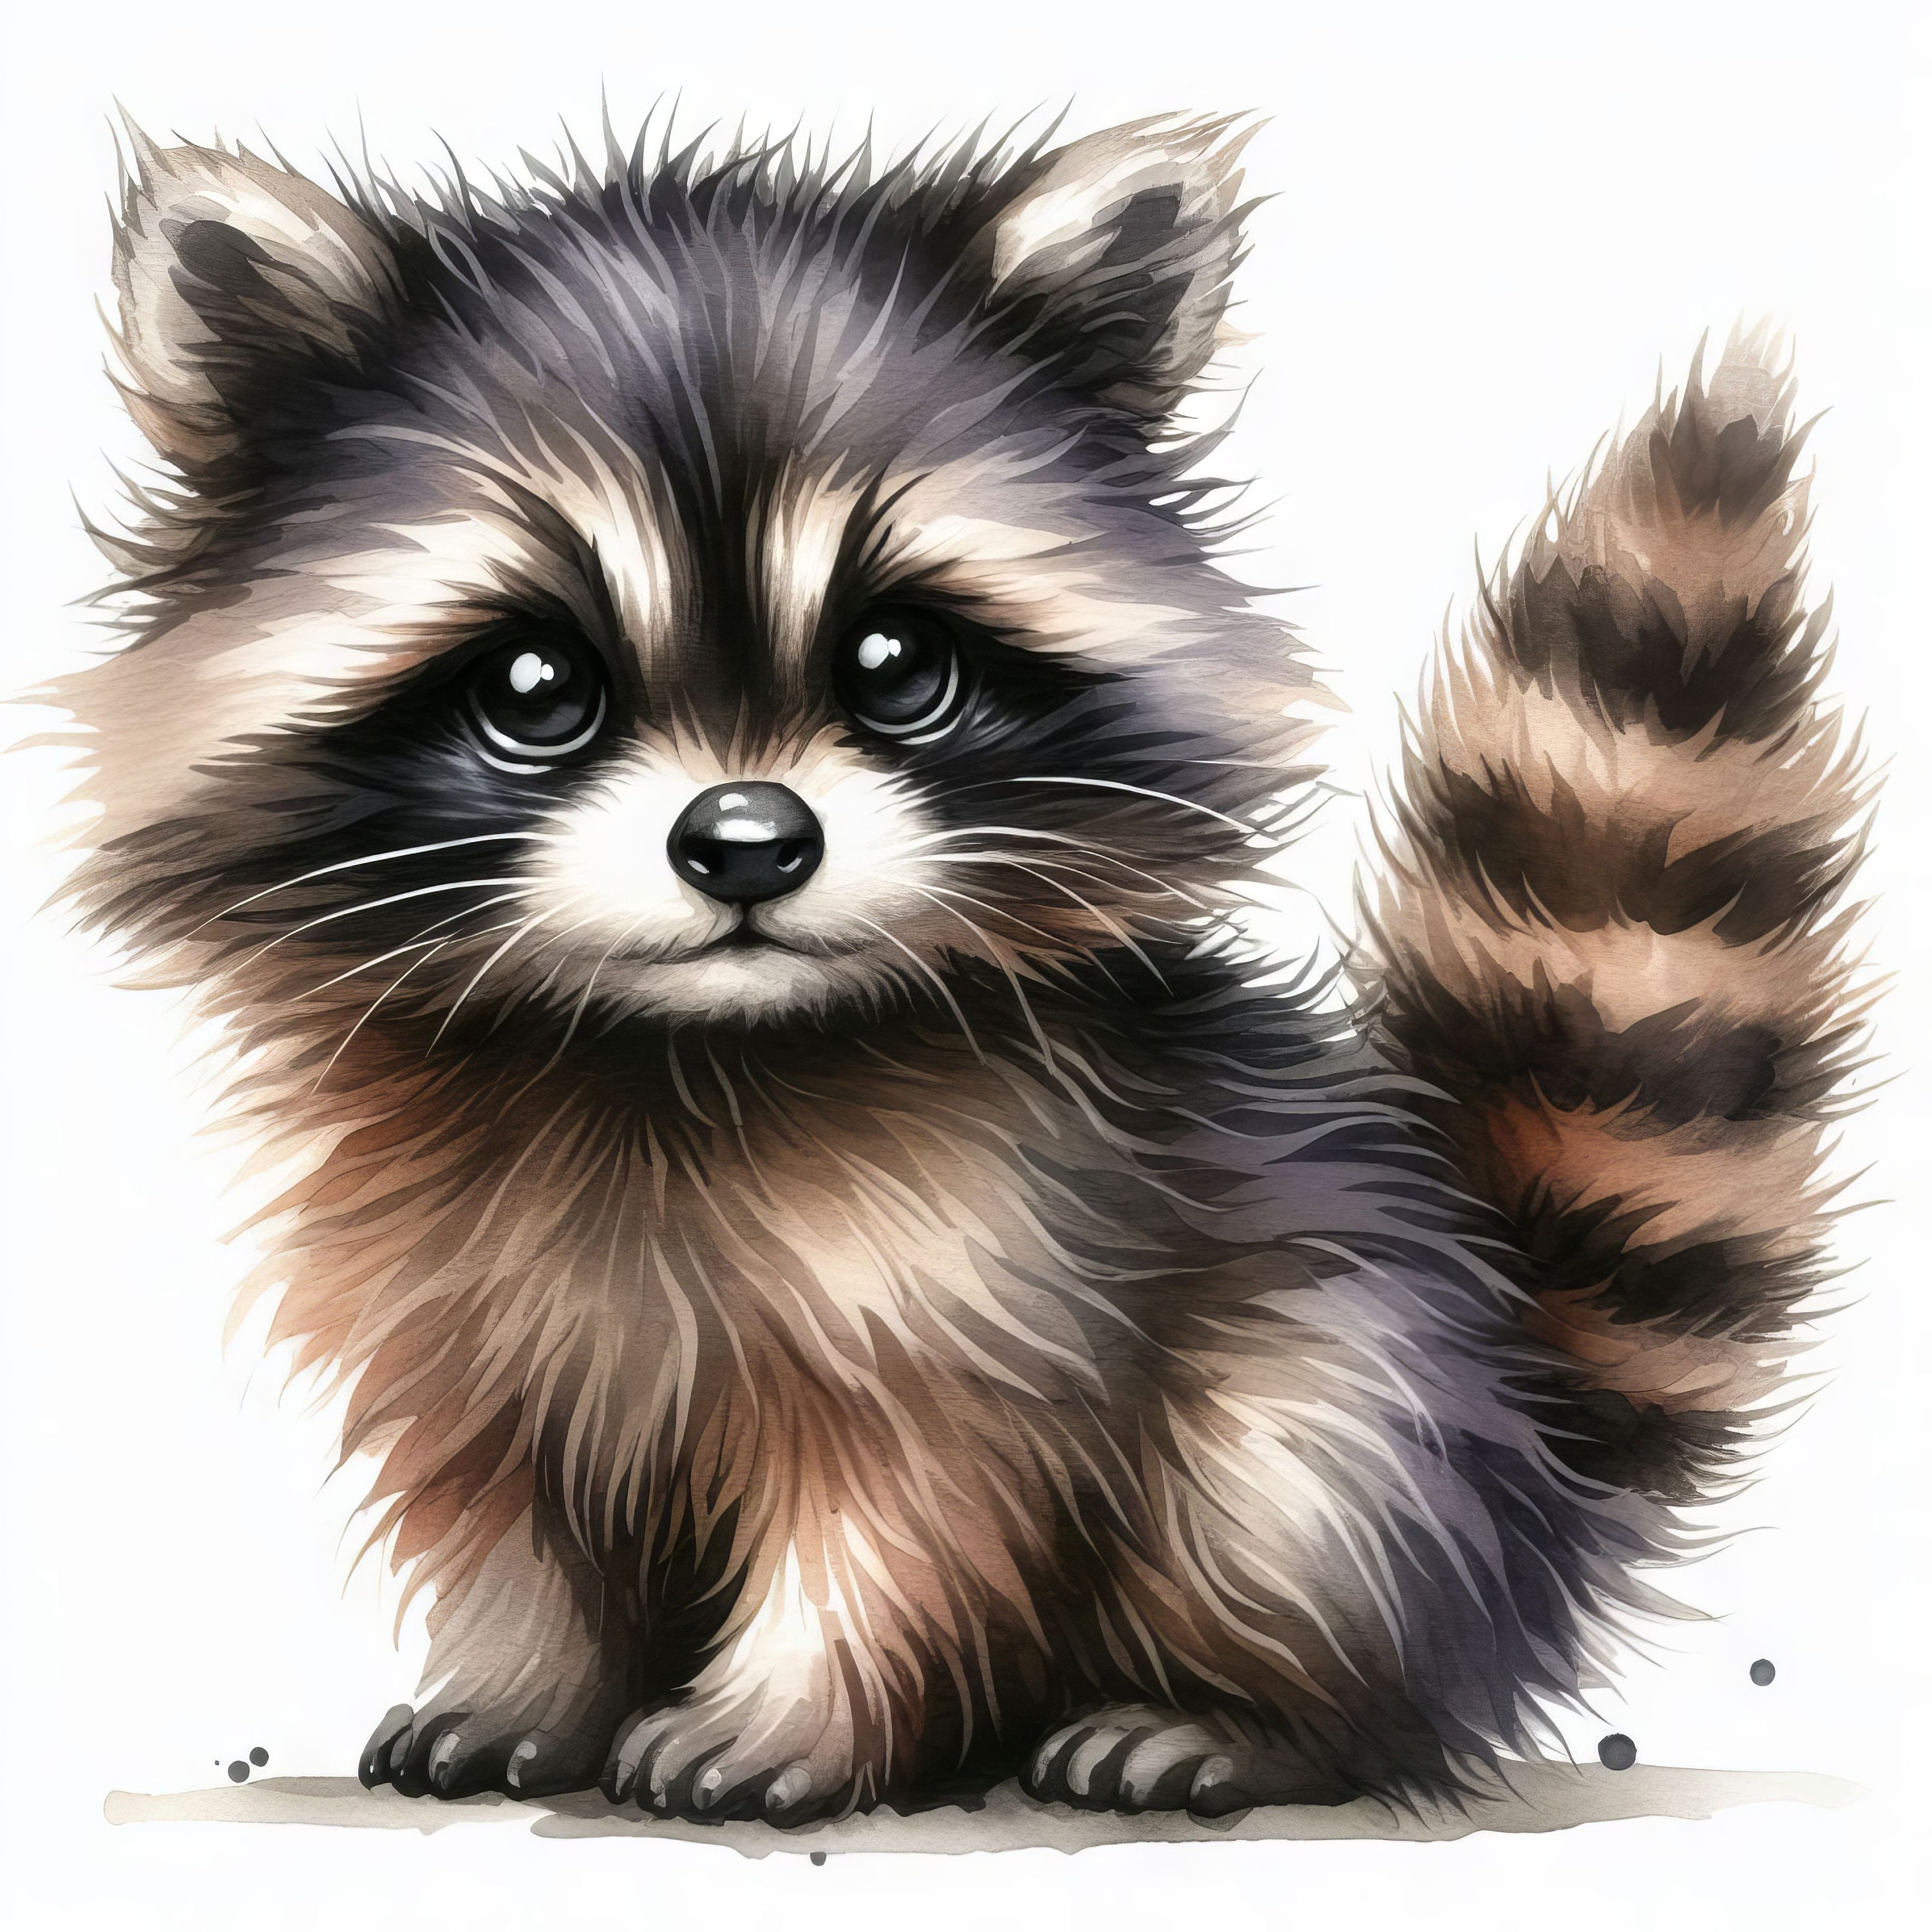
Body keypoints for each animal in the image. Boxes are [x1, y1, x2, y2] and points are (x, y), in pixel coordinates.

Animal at [48, 111, 1869, 1822]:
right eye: (533, 685)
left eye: (895, 663)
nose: (747, 843)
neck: (678, 1040)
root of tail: (1530, 1468)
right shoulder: (449, 1283)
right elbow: (512, 1496)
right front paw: (523, 1680)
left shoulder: (1016, 1247)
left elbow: (918, 1503)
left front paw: (788, 1709)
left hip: (1360, 1373)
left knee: (1297, 1484)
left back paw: (1253, 1714)